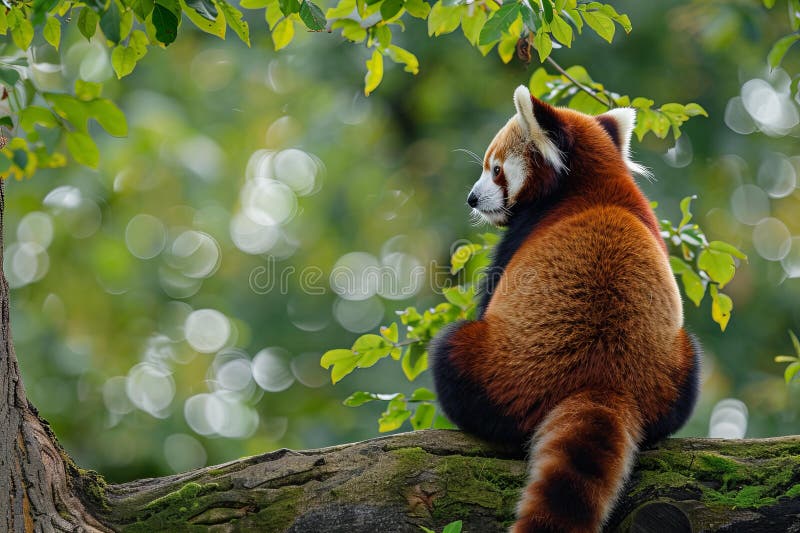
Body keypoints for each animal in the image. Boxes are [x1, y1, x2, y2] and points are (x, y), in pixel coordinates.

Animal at [429, 85, 701, 533]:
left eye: (496, 170)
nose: (472, 198)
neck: (594, 180)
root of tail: (602, 380)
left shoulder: (519, 238)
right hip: (679, 367)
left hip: (491, 368)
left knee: (448, 350)